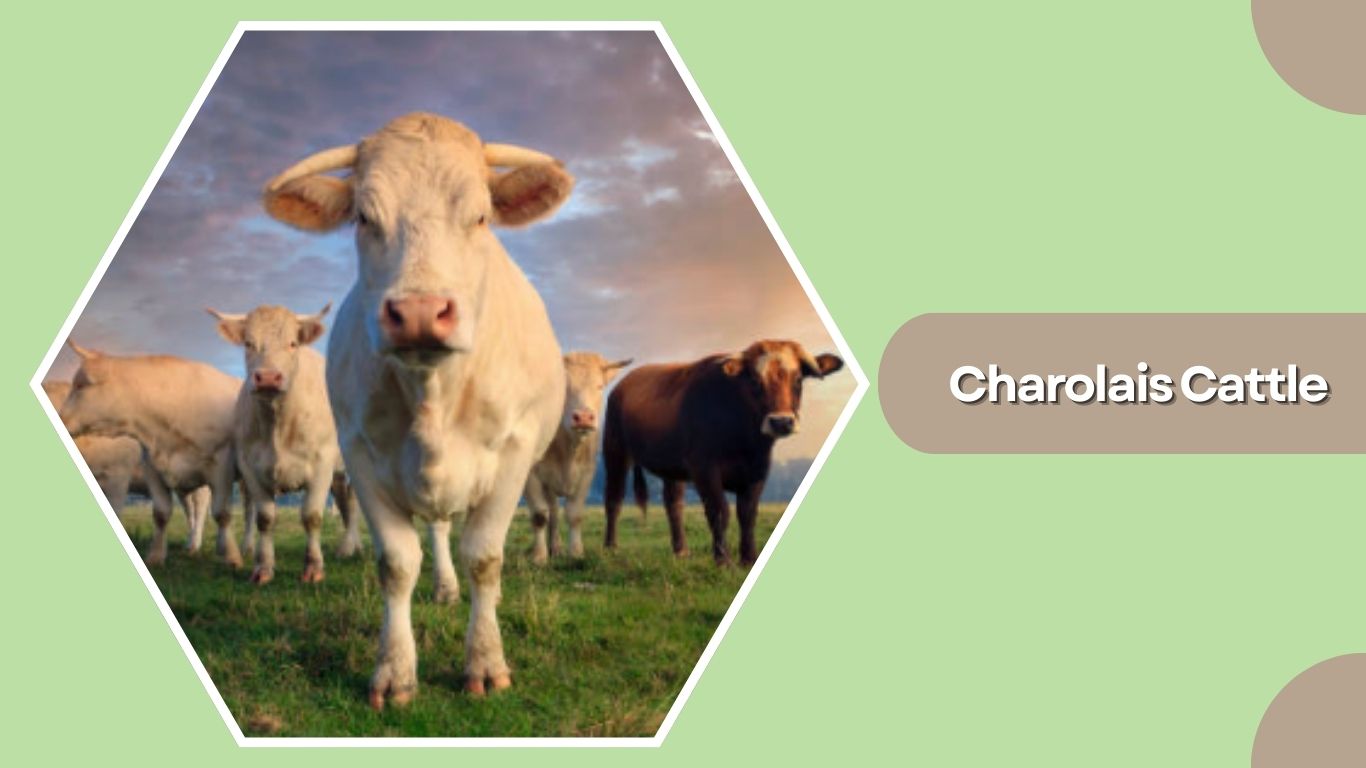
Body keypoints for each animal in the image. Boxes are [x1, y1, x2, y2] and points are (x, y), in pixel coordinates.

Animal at [207, 304, 364, 585]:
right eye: (248, 343)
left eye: (293, 343)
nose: (268, 377)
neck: (277, 425)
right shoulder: (250, 467)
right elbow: (265, 519)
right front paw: (263, 568)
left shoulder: (322, 463)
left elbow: (311, 516)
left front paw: (313, 568)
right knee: (343, 499)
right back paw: (350, 546)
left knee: (353, 499)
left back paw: (349, 546)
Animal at [260, 112, 573, 707]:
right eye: (364, 216)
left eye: (481, 215)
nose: (422, 313)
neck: (433, 395)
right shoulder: (359, 454)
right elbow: (398, 563)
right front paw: (395, 671)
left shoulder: (514, 454)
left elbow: (484, 558)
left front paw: (486, 661)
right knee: (439, 530)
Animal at [524, 352, 631, 563]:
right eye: (563, 387)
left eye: (599, 386)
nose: (583, 417)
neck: (568, 449)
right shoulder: (531, 476)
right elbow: (539, 515)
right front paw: (539, 556)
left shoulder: (586, 474)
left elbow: (574, 514)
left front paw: (575, 552)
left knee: (555, 512)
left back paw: (556, 548)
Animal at [603, 340, 844, 566]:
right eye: (755, 381)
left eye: (798, 380)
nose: (781, 421)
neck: (744, 439)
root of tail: (622, 385)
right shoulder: (704, 468)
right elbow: (719, 511)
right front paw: (723, 561)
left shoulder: (758, 470)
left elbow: (747, 514)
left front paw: (748, 559)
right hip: (614, 450)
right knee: (614, 499)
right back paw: (611, 547)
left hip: (671, 465)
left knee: (673, 503)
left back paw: (681, 550)